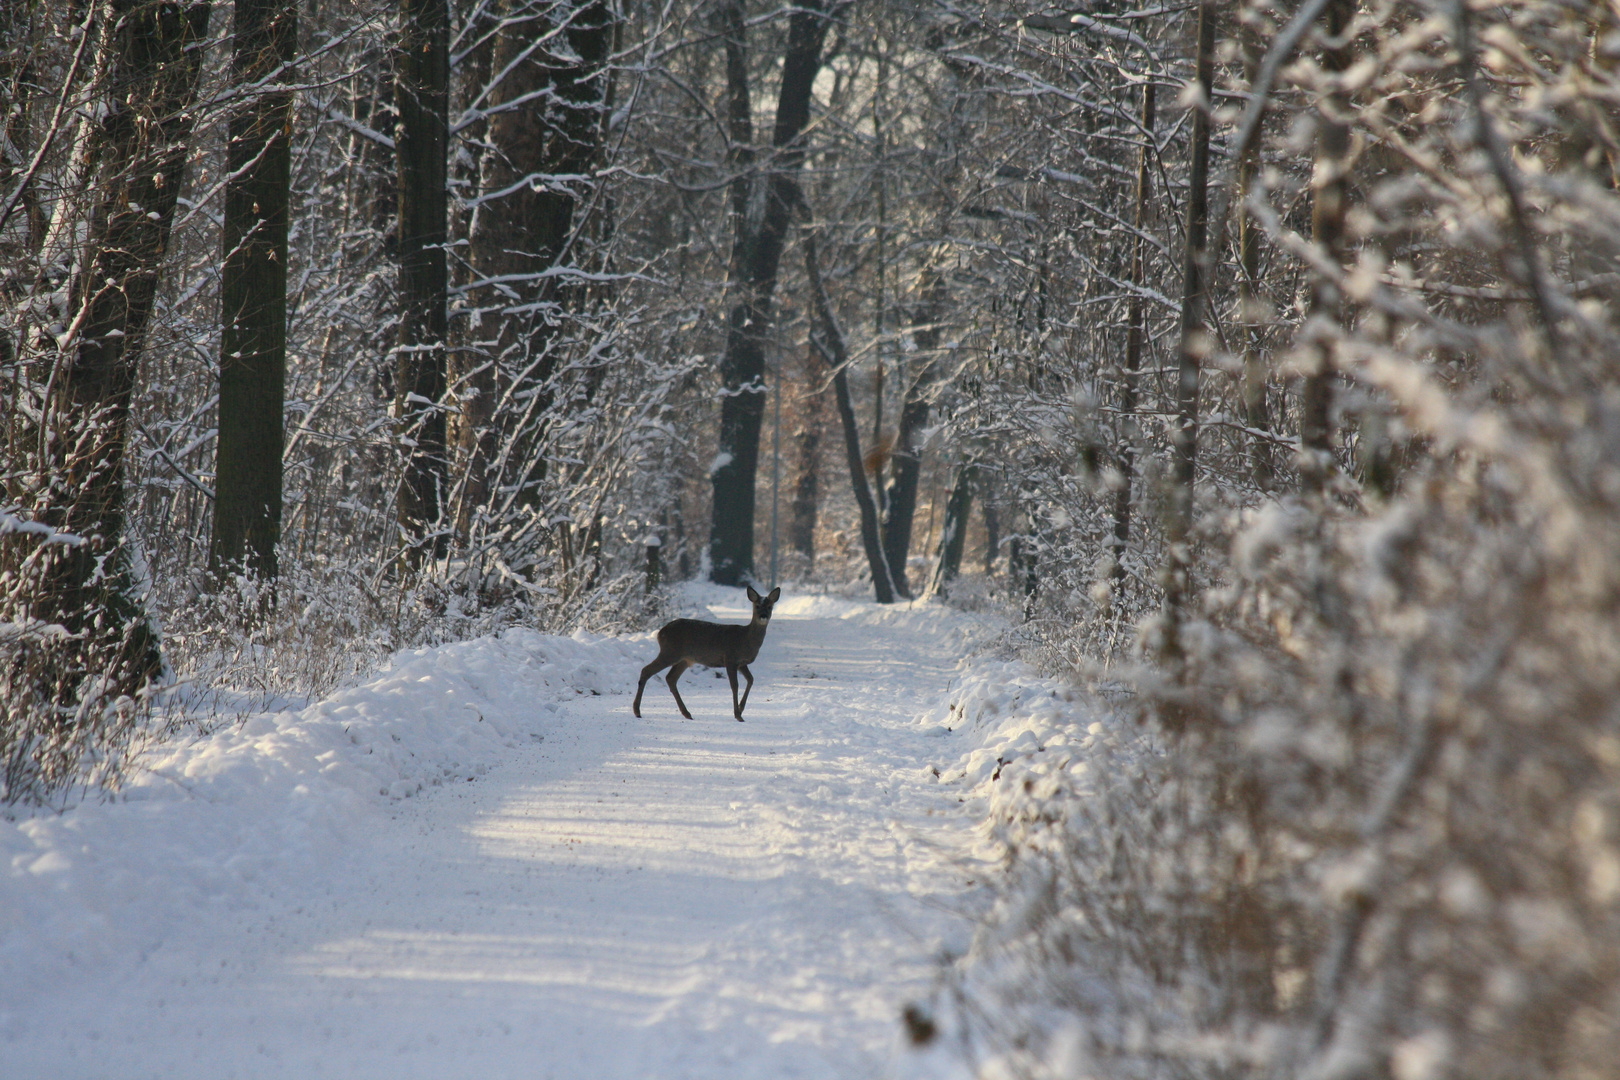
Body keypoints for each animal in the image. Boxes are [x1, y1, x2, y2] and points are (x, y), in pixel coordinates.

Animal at [632, 586, 780, 722]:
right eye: (757, 606)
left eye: (770, 606)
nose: (763, 616)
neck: (745, 639)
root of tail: (660, 632)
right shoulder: (730, 658)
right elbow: (735, 685)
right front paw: (737, 715)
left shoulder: (741, 663)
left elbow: (751, 679)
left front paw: (741, 709)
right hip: (670, 652)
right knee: (647, 670)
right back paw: (637, 711)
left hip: (685, 659)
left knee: (670, 678)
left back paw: (687, 713)